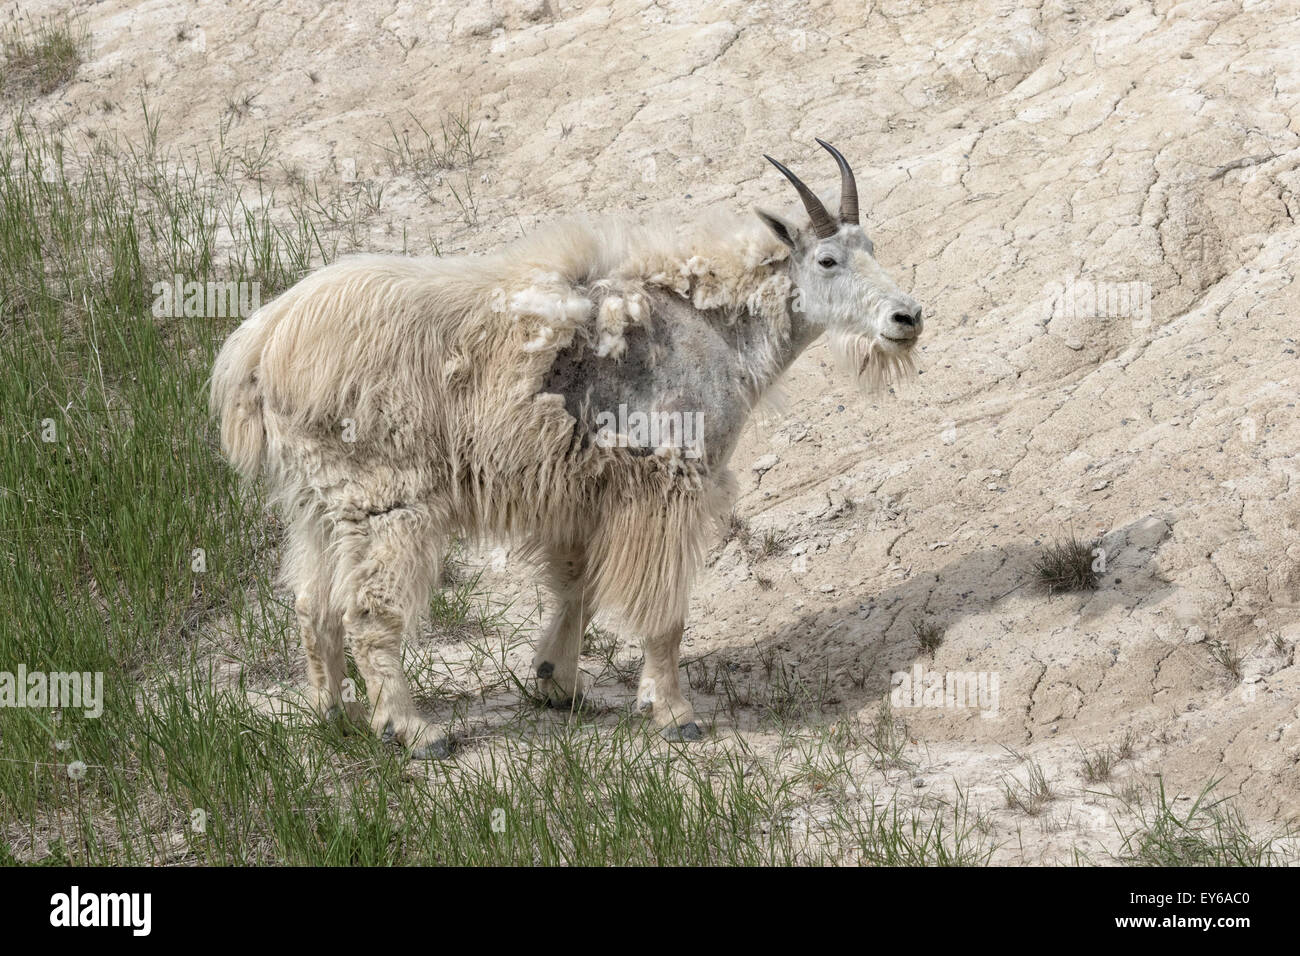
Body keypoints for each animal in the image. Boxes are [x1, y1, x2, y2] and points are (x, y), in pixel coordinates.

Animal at [210, 140, 924, 757]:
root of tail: (257, 348)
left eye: (871, 246)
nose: (906, 318)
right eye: (828, 260)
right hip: (383, 499)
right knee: (369, 612)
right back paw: (413, 731)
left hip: (316, 500)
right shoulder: (669, 484)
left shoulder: (585, 492)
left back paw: (332, 715)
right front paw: (674, 714)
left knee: (312, 603)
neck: (714, 326)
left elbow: (577, 584)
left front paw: (558, 683)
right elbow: (665, 610)